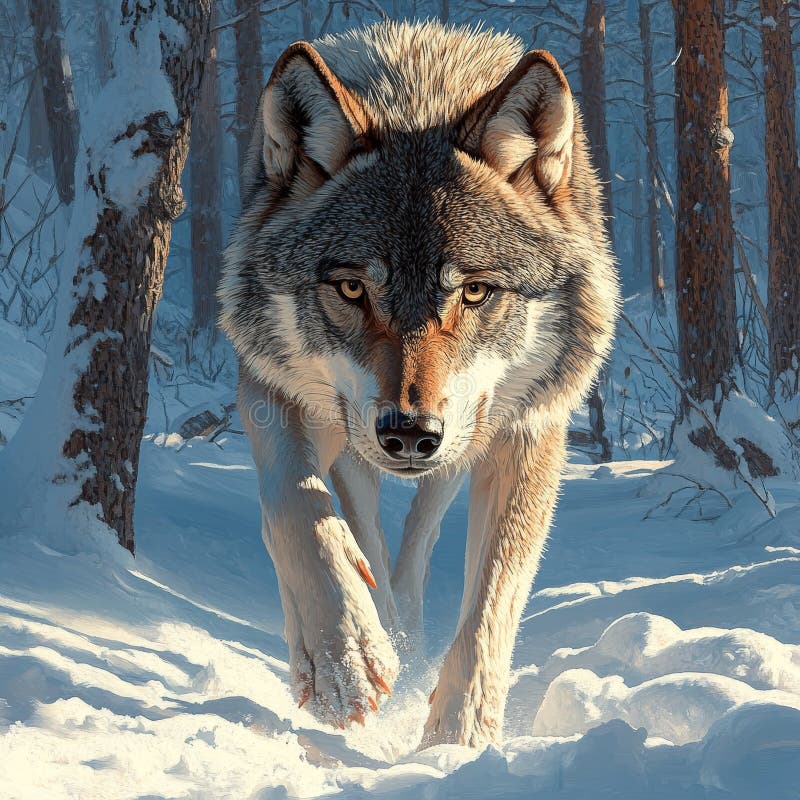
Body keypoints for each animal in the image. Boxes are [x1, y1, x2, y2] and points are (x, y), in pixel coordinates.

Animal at [219, 21, 618, 748]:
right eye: (353, 289)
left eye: (475, 291)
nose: (408, 434)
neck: (418, 95)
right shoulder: (275, 391)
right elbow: (294, 507)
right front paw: (342, 657)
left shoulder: (530, 429)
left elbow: (494, 594)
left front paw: (459, 737)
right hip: (352, 433)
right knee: (366, 530)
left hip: (464, 438)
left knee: (422, 535)